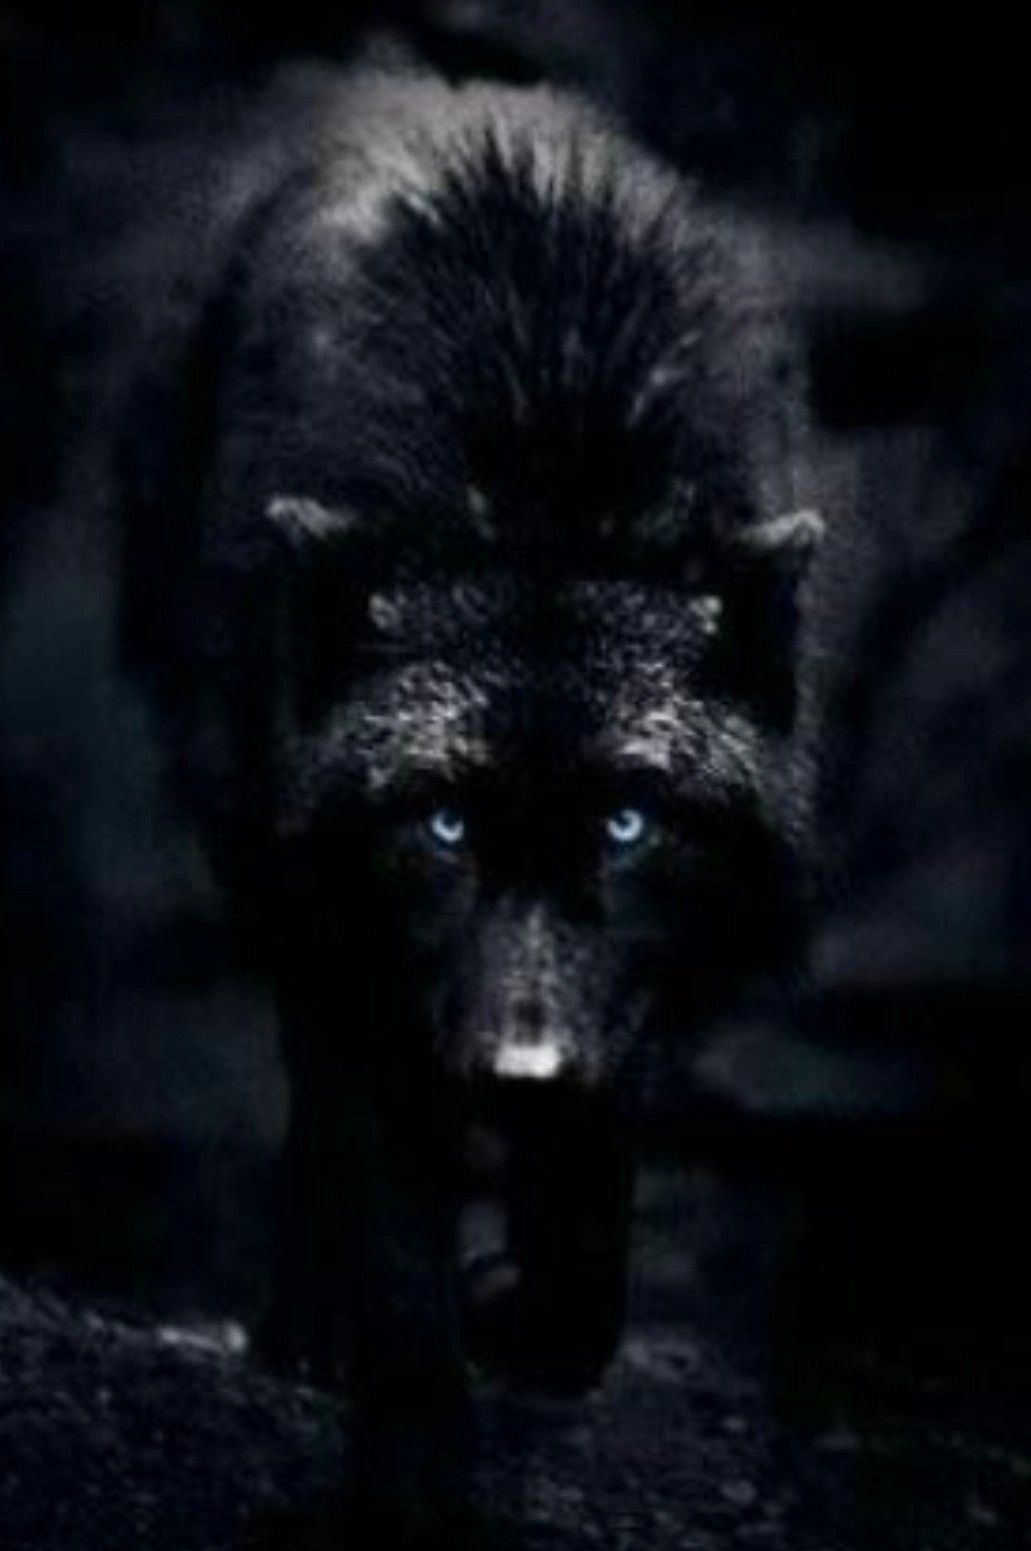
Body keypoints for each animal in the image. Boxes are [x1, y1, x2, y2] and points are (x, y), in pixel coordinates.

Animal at [118, 69, 821, 1545]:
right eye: (440, 825)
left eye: (625, 823)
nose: (516, 1071)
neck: (541, 454)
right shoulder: (357, 946)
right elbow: (393, 1232)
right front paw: (410, 1452)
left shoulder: (620, 994)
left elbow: (586, 1232)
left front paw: (526, 1309)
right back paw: (305, 1322)